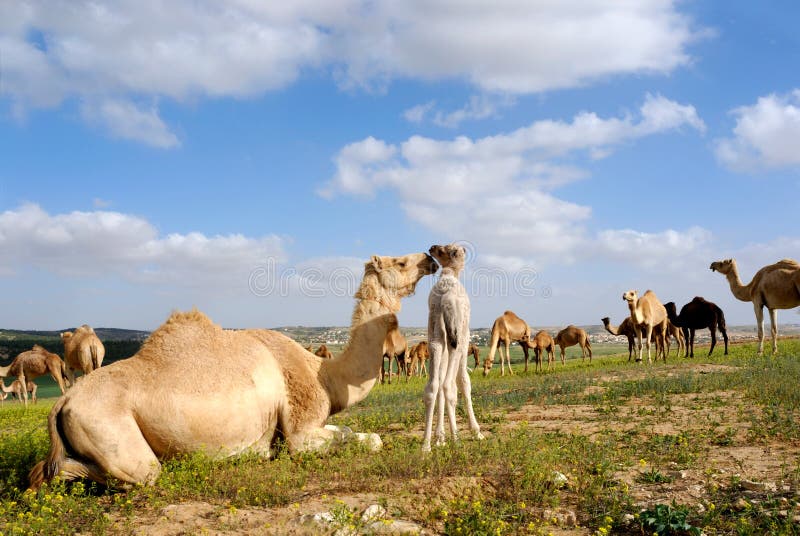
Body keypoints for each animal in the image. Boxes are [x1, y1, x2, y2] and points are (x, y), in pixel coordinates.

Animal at [28, 251, 437, 490]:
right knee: (118, 473)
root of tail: (62, 403)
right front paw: (265, 452)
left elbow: (351, 431)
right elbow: (368, 439)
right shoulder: (301, 430)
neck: (323, 372)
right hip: (113, 435)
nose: (430, 256)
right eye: (400, 262)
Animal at [422, 244, 483, 452]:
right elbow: (464, 382)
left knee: (433, 386)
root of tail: (445, 300)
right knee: (449, 385)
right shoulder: (463, 341)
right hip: (457, 342)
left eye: (442, 250)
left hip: (436, 338)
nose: (431, 248)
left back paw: (426, 445)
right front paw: (477, 432)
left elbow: (439, 384)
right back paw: (456, 439)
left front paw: (440, 438)